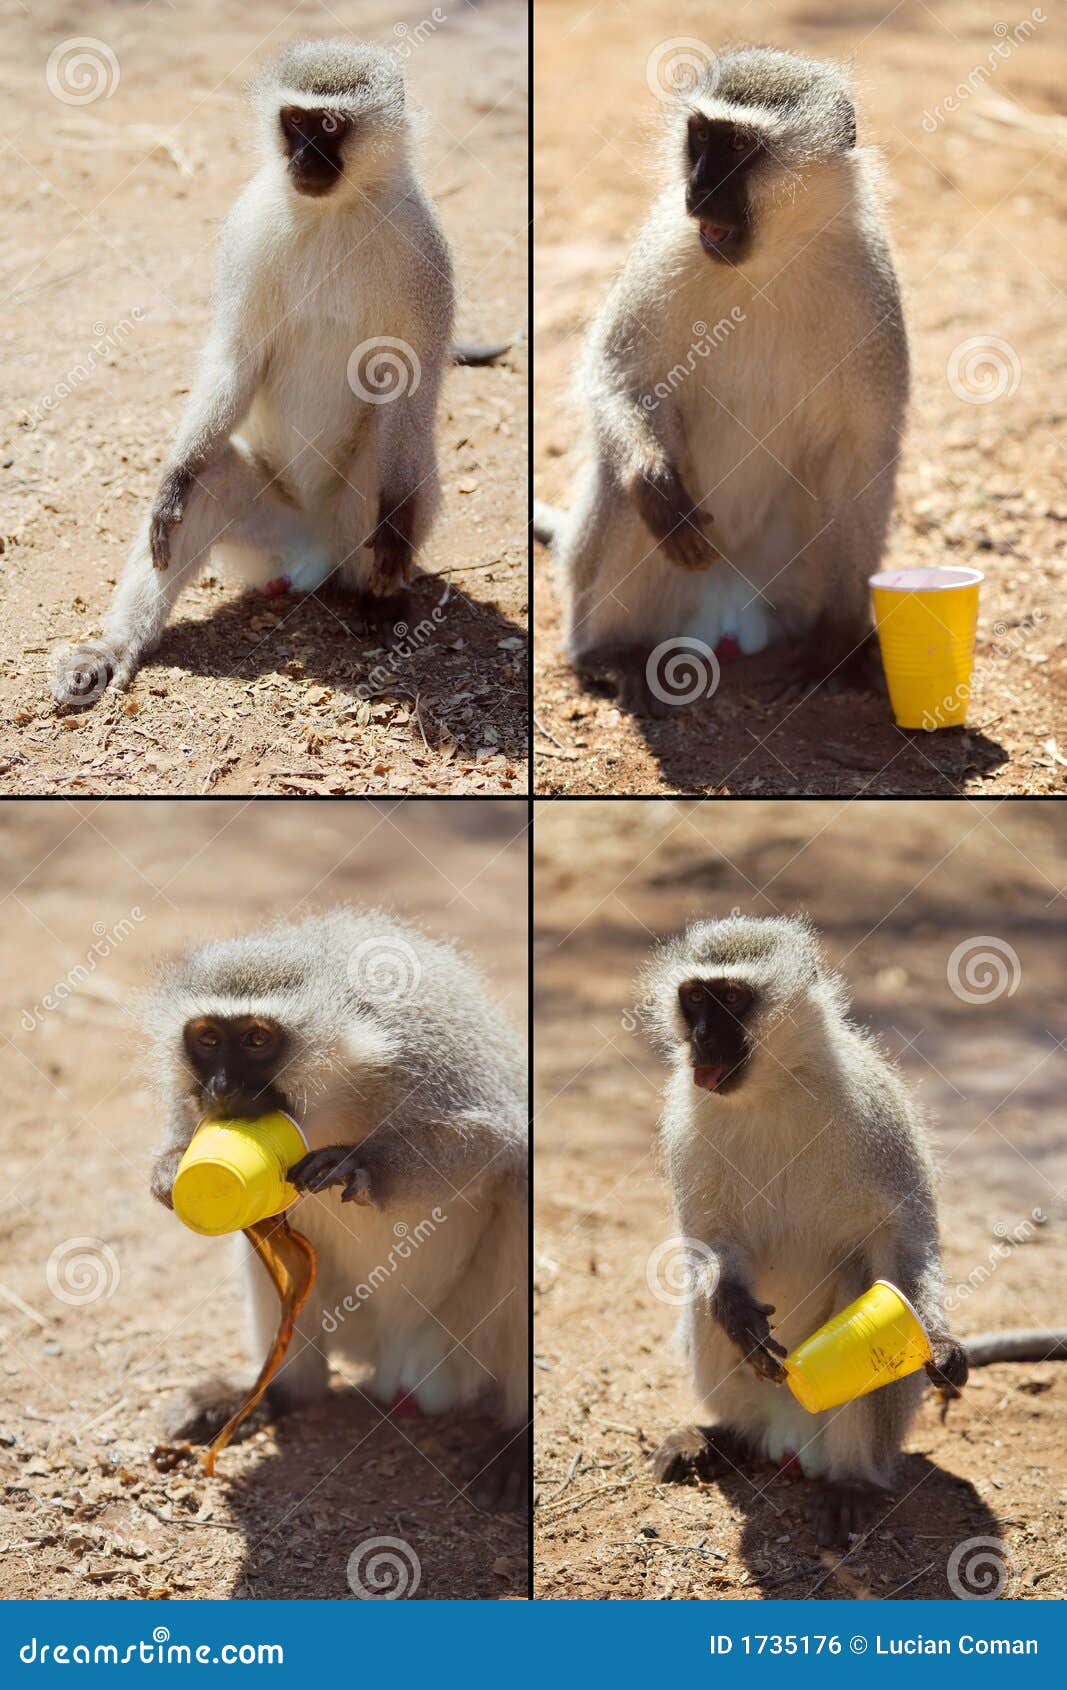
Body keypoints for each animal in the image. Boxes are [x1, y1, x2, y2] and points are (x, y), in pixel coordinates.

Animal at [51, 40, 506, 710]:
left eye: (330, 126)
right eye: (294, 122)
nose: (303, 158)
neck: (333, 213)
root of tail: (311, 559)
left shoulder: (424, 251)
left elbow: (412, 383)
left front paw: (397, 532)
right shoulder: (249, 224)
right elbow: (235, 358)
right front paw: (172, 480)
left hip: (351, 528)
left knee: (390, 454)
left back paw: (385, 597)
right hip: (266, 532)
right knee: (210, 480)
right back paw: (113, 647)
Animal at [142, 908, 529, 1512]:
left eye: (256, 1039)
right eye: (206, 1039)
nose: (221, 1088)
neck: (328, 1094)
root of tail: (402, 1362)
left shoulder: (427, 1052)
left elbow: (499, 1142)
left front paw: (358, 1163)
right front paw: (168, 1167)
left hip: (468, 1335)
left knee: (520, 1181)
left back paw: (516, 1439)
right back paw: (277, 1391)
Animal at [537, 47, 909, 717]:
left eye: (737, 147)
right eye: (701, 138)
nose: (699, 186)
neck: (769, 261)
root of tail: (727, 603)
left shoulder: (871, 283)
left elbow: (863, 450)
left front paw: (838, 643)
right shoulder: (664, 247)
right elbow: (616, 375)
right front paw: (651, 478)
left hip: (787, 577)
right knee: (629, 501)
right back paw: (608, 650)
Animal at [638, 915, 1065, 1547]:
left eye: (732, 999)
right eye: (694, 999)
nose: (703, 1039)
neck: (774, 1086)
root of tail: (789, 1433)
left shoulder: (875, 1109)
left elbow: (902, 1232)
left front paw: (938, 1339)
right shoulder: (685, 1115)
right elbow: (706, 1240)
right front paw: (737, 1313)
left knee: (864, 1287)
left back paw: (852, 1483)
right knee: (706, 1309)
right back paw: (725, 1434)